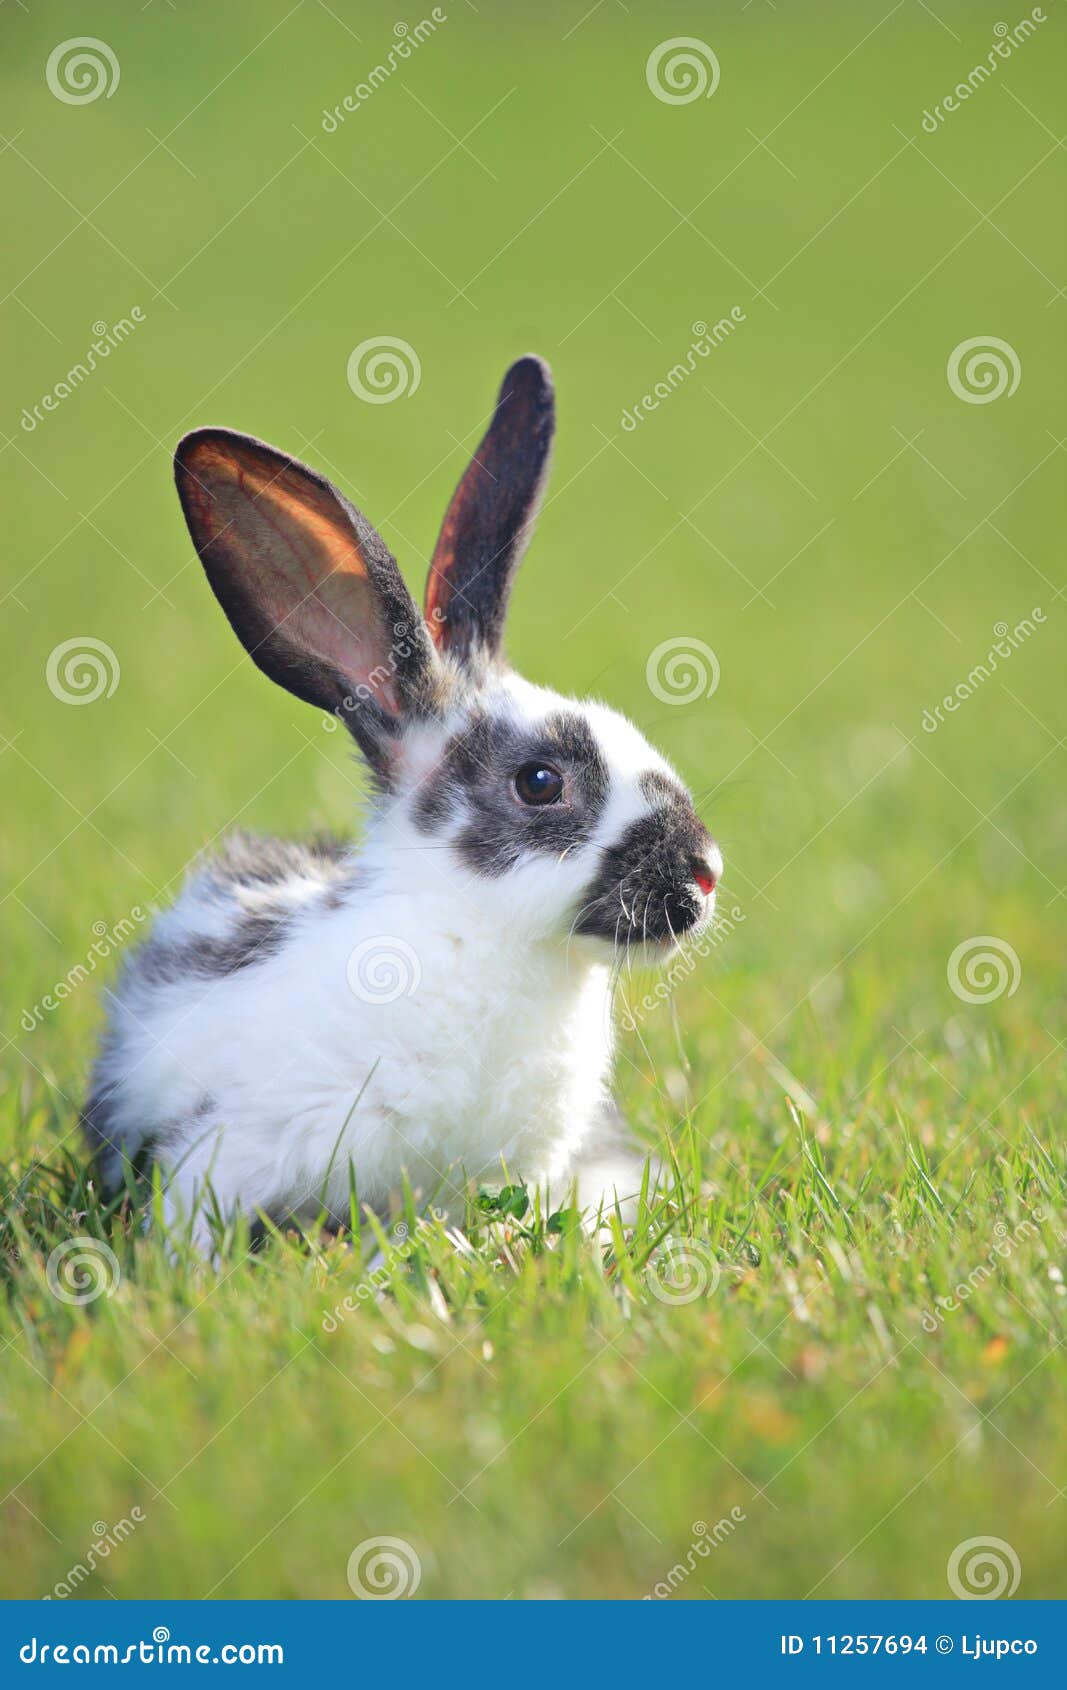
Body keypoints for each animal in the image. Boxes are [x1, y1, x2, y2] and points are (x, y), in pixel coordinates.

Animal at [82, 355, 723, 1251]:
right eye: (540, 782)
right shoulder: (228, 1144)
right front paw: (180, 1269)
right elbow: (190, 1213)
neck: (483, 940)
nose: (703, 874)